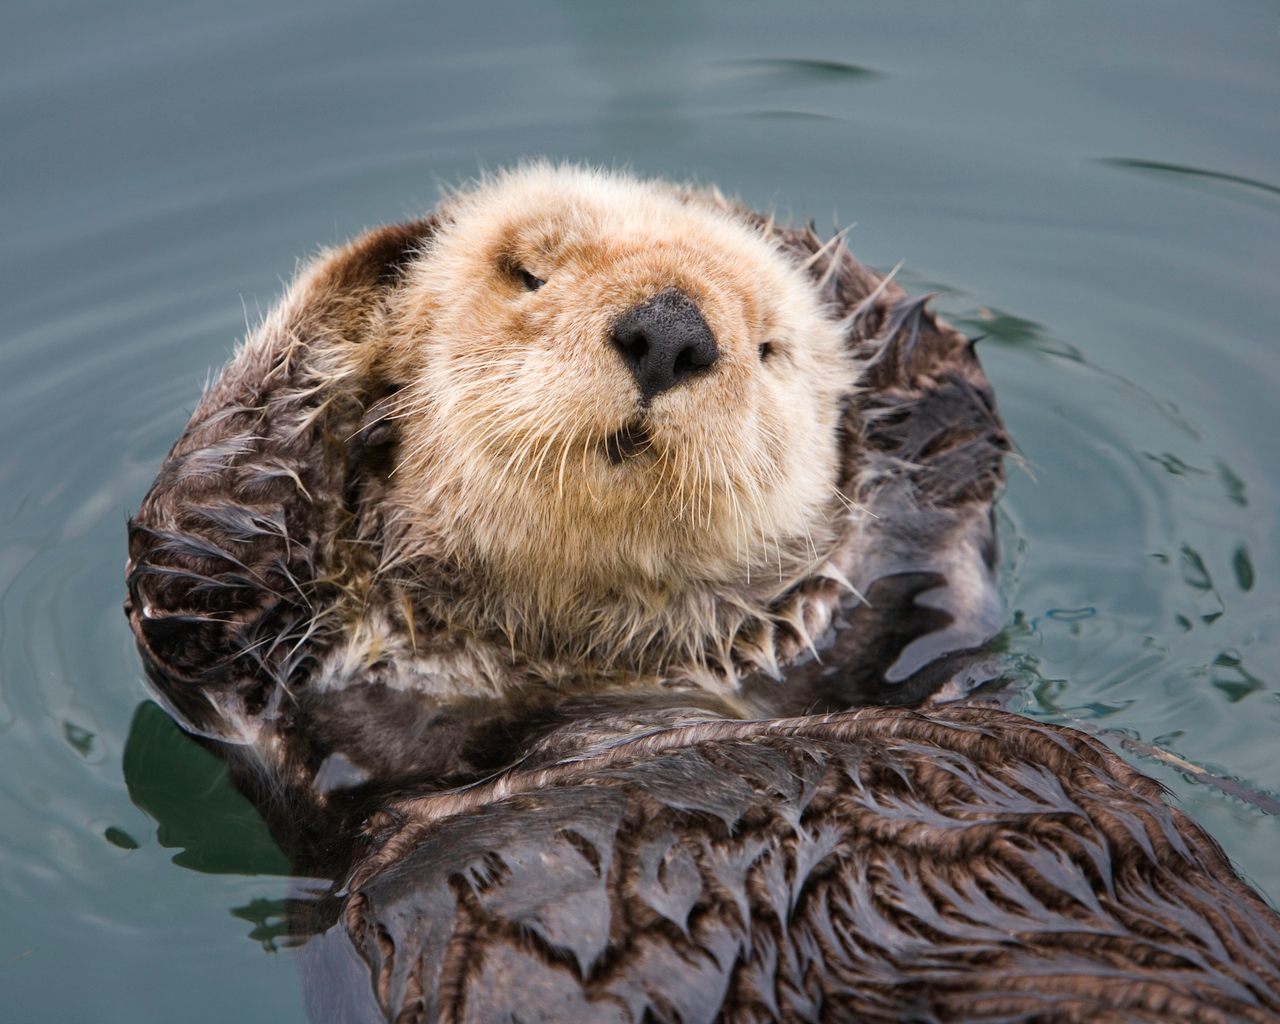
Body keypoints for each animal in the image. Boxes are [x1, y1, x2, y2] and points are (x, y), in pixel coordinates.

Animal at [125, 165, 1279, 1022]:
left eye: (770, 346)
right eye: (524, 274)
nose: (672, 327)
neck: (595, 689)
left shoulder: (906, 622)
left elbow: (942, 439)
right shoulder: (280, 704)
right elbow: (193, 549)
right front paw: (387, 264)